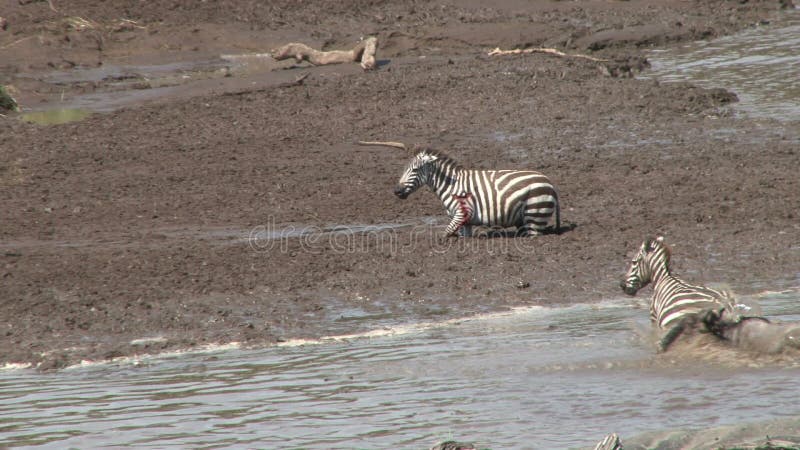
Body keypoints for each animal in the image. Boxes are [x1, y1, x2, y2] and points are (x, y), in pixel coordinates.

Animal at [358, 140, 560, 237]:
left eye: (414, 170)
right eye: (404, 170)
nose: (397, 191)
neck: (450, 184)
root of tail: (550, 183)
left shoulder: (461, 214)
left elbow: (444, 236)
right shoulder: (465, 222)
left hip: (534, 215)